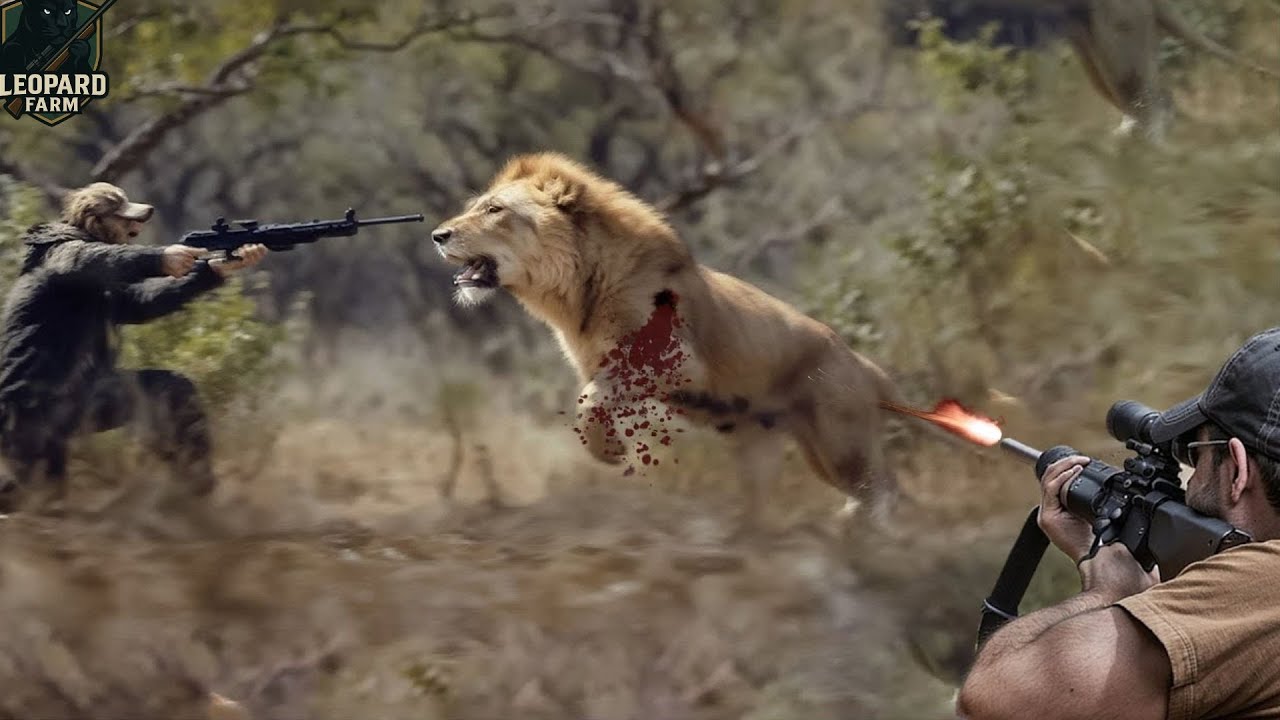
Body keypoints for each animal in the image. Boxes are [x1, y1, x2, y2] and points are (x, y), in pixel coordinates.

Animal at [430, 152, 925, 524]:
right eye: (478, 205)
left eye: (494, 210)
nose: (437, 234)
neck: (575, 295)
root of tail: (860, 361)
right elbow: (599, 396)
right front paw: (620, 446)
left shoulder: (681, 361)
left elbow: (590, 397)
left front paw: (609, 451)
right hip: (774, 446)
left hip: (840, 444)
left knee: (885, 489)